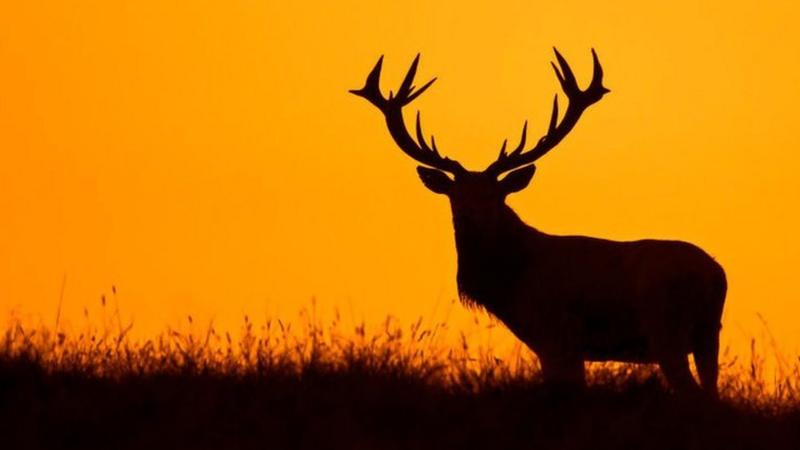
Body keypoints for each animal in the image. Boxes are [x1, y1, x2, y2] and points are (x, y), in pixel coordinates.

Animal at [350, 49, 727, 396]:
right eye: (454, 196)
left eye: (497, 195)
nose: (473, 220)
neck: (514, 281)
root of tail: (716, 275)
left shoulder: (557, 336)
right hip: (708, 335)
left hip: (666, 330)